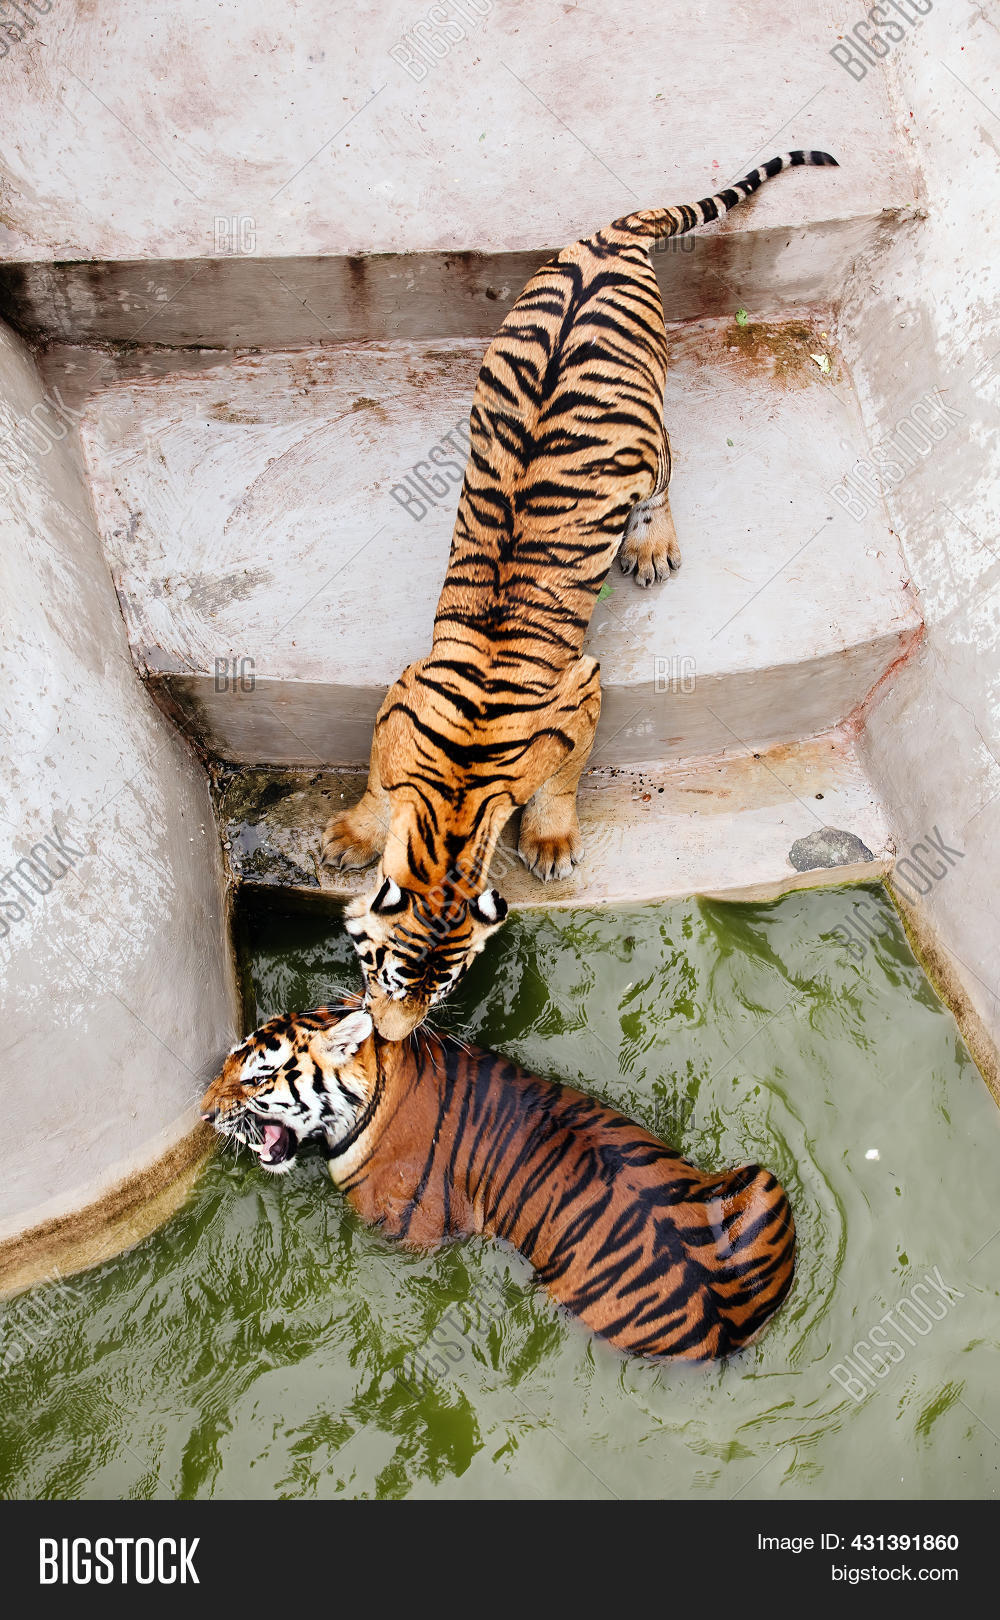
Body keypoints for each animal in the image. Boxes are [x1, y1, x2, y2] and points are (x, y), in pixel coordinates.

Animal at [322, 151, 839, 1039]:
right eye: (381, 970)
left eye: (444, 985)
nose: (391, 1036)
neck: (452, 807)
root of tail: (607, 240)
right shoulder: (402, 694)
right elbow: (375, 785)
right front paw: (351, 834)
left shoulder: (583, 689)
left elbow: (561, 779)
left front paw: (552, 844)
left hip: (652, 436)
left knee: (663, 482)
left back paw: (653, 547)